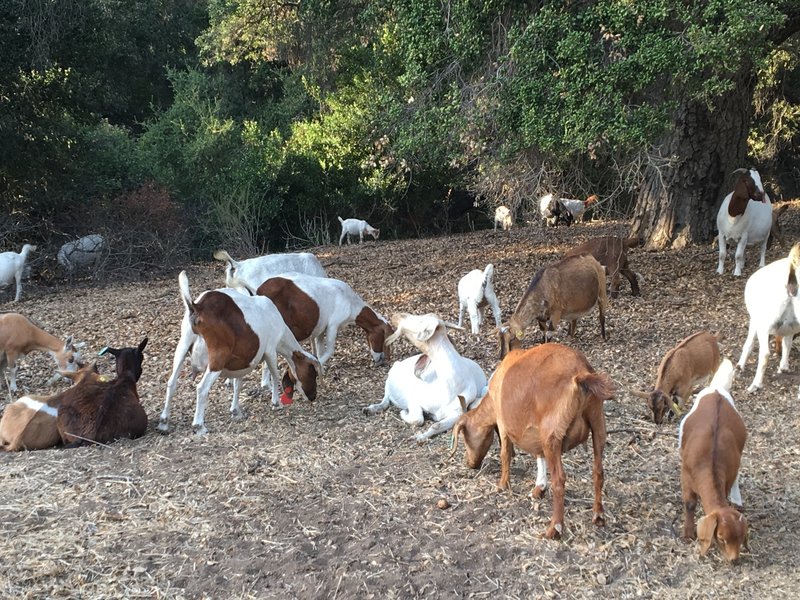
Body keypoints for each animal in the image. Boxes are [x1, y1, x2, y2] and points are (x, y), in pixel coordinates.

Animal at [159, 272, 320, 435]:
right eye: (312, 372)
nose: (313, 396)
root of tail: (197, 307)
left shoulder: (241, 358)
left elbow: (238, 383)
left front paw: (235, 411)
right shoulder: (270, 350)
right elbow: (274, 374)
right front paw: (276, 403)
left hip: (183, 345)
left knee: (172, 382)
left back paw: (164, 423)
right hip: (217, 357)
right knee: (202, 388)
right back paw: (199, 426)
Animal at [364, 313, 488, 441]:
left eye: (421, 320)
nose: (397, 315)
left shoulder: (458, 412)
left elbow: (436, 425)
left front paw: (420, 436)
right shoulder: (414, 400)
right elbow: (418, 419)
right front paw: (405, 413)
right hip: (389, 382)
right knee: (385, 399)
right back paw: (370, 409)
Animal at [451, 343, 614, 539]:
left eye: (465, 438)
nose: (470, 464)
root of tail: (580, 373)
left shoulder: (503, 424)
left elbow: (505, 454)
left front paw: (502, 485)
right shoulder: (536, 431)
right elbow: (539, 456)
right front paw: (539, 488)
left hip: (552, 434)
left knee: (559, 480)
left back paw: (554, 528)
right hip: (598, 423)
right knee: (598, 471)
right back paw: (598, 516)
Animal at [679, 359, 748, 561]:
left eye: (742, 538)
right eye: (722, 538)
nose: (734, 560)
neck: (710, 460)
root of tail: (717, 389)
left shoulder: (729, 473)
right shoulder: (686, 474)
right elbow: (690, 503)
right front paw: (687, 533)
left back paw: (737, 498)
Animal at [737, 243, 800, 392]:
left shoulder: (756, 321)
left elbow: (749, 343)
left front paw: (740, 365)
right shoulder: (791, 327)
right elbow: (787, 344)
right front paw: (784, 367)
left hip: (764, 324)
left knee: (765, 354)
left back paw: (755, 385)